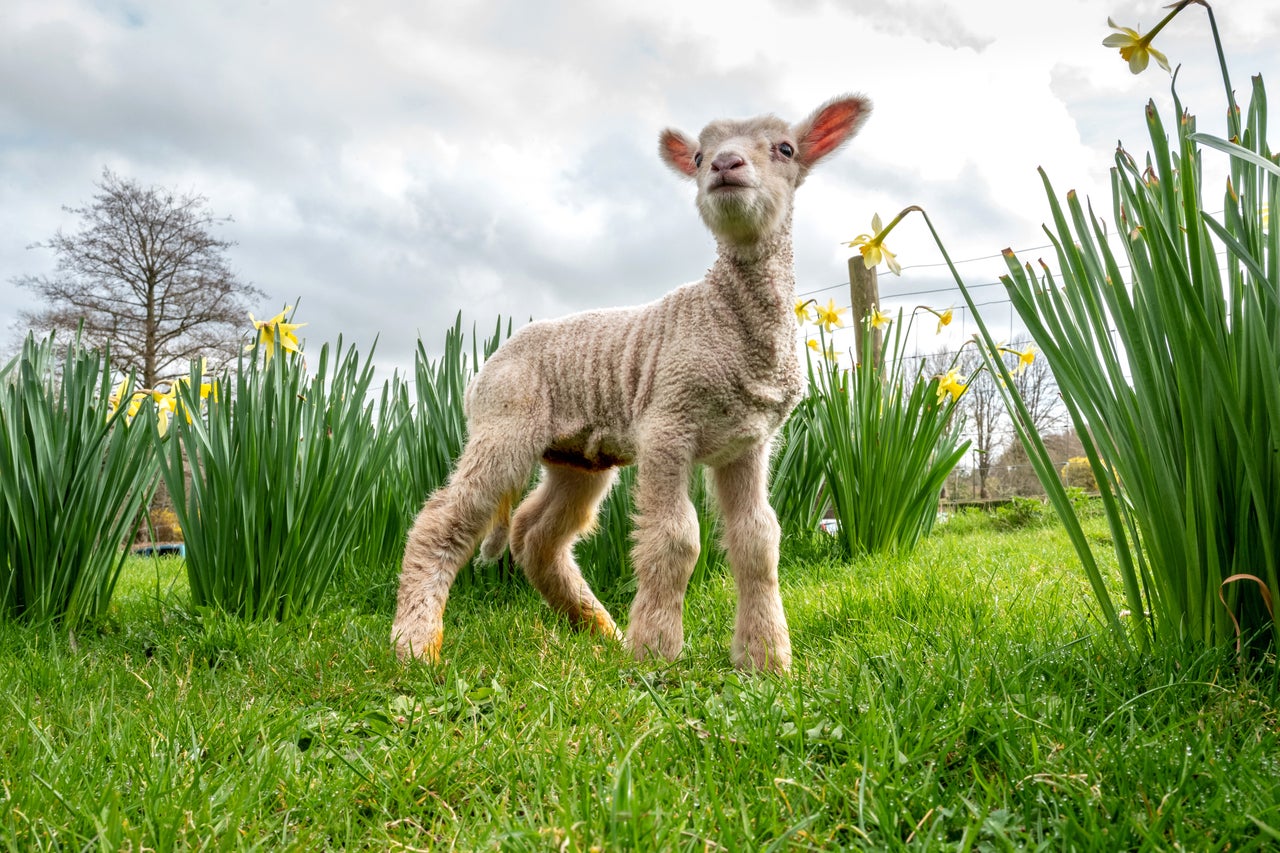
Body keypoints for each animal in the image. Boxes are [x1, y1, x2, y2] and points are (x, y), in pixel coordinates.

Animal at [392, 94, 871, 672]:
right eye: (698, 156)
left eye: (785, 148)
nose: (724, 165)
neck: (726, 319)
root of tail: (482, 371)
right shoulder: (668, 422)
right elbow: (676, 538)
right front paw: (656, 653)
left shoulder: (748, 443)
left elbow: (758, 541)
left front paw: (767, 661)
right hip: (504, 422)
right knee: (444, 521)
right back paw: (416, 644)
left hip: (577, 456)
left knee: (537, 535)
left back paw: (600, 630)